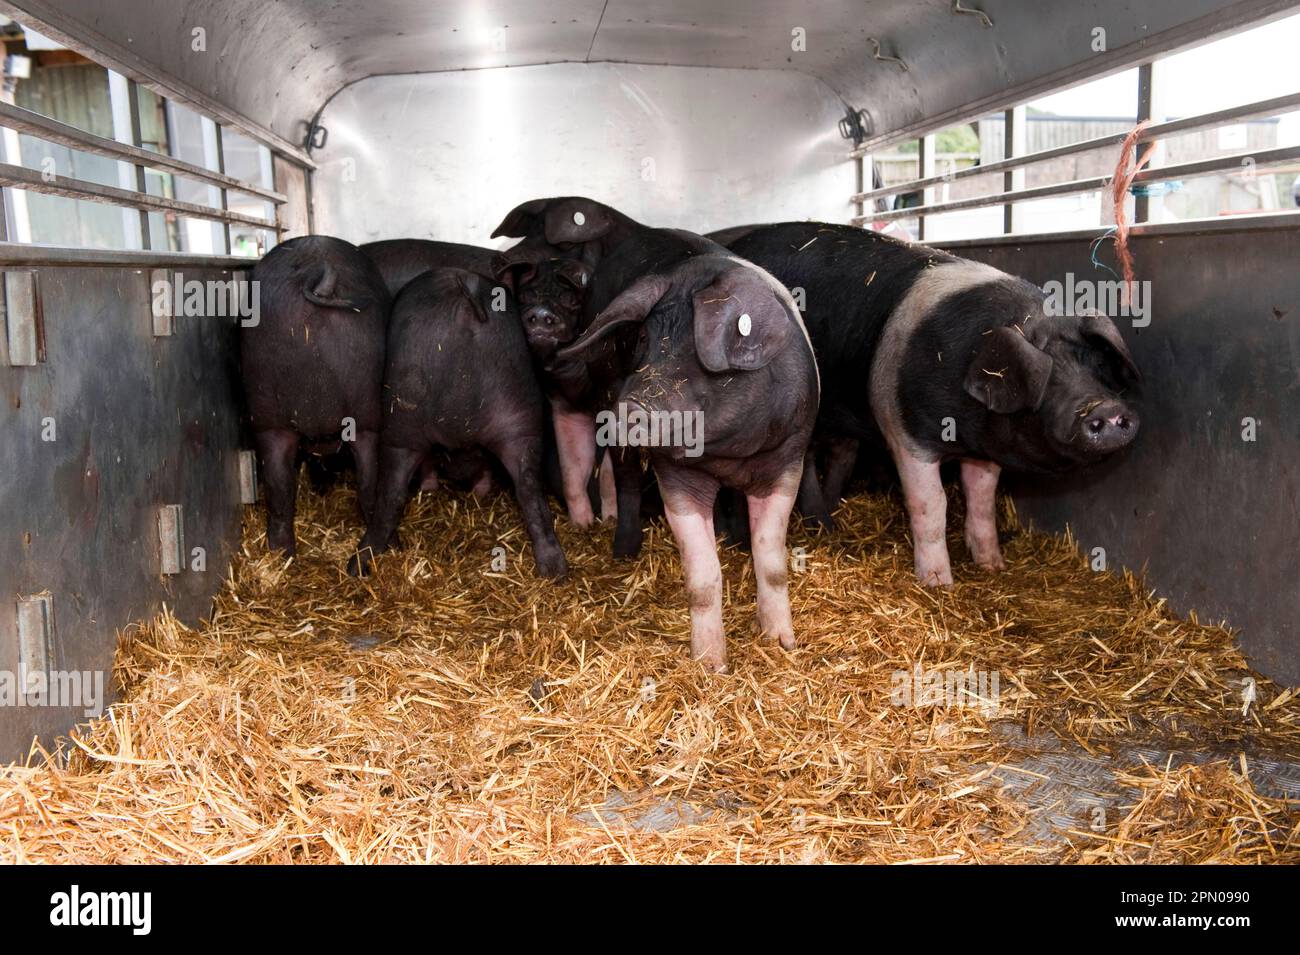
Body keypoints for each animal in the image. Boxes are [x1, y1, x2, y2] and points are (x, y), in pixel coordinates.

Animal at [242, 235, 390, 555]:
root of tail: (318, 275)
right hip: (365, 414)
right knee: (368, 481)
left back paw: (281, 553)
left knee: (279, 486)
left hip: (268, 412)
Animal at [345, 267, 567, 580]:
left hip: (403, 420)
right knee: (530, 490)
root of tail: (466, 306)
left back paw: (357, 565)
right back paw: (555, 570)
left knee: (392, 494)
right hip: (519, 413)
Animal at [494, 197, 820, 671]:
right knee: (621, 478)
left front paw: (783, 644)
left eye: (697, 358)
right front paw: (711, 666)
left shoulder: (787, 458)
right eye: (642, 343)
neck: (730, 454)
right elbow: (702, 575)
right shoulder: (675, 472)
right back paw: (621, 546)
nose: (628, 409)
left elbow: (772, 561)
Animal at [717, 221, 1141, 586]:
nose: (1105, 410)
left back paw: (832, 517)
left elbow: (982, 500)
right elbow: (931, 504)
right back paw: (809, 526)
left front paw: (993, 566)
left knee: (839, 455)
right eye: (1045, 376)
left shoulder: (983, 449)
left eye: (1097, 366)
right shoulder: (906, 434)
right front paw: (939, 583)